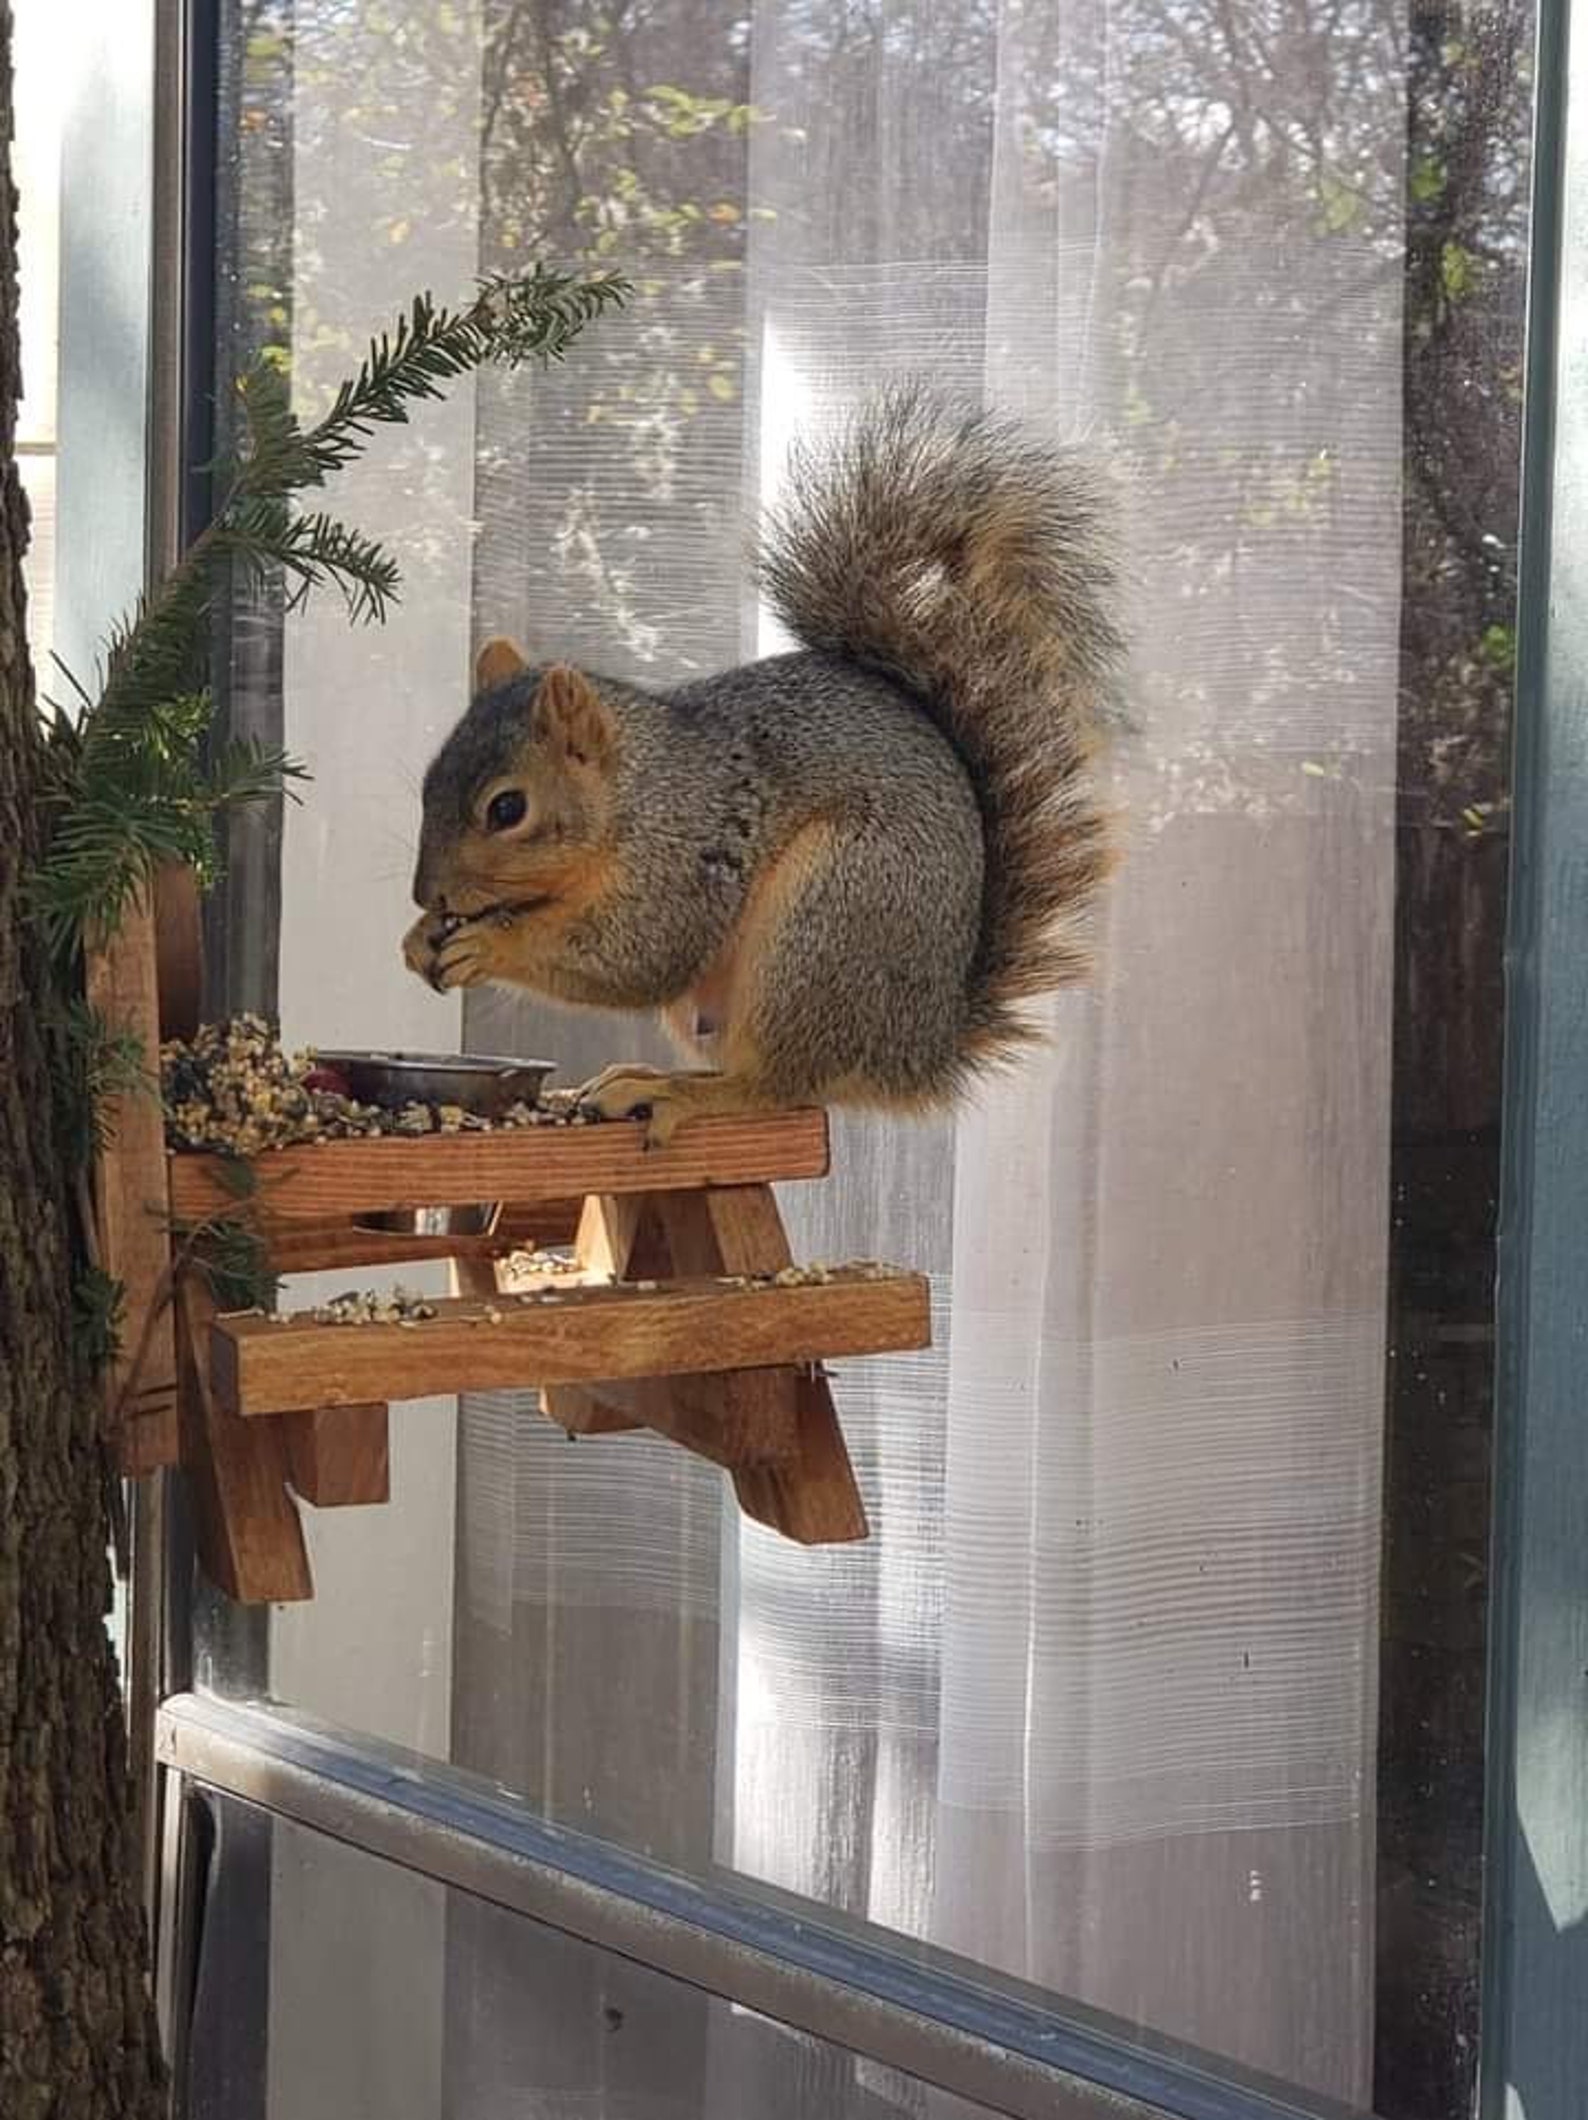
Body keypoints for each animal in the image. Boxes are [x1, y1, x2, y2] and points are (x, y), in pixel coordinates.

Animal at [403, 383, 1123, 1144]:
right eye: (426, 782)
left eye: (508, 808)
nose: (428, 897)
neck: (637, 793)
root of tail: (918, 1052)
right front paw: (420, 940)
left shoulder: (687, 856)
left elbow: (640, 956)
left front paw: (489, 947)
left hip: (826, 918)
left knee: (778, 1087)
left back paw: (676, 1094)